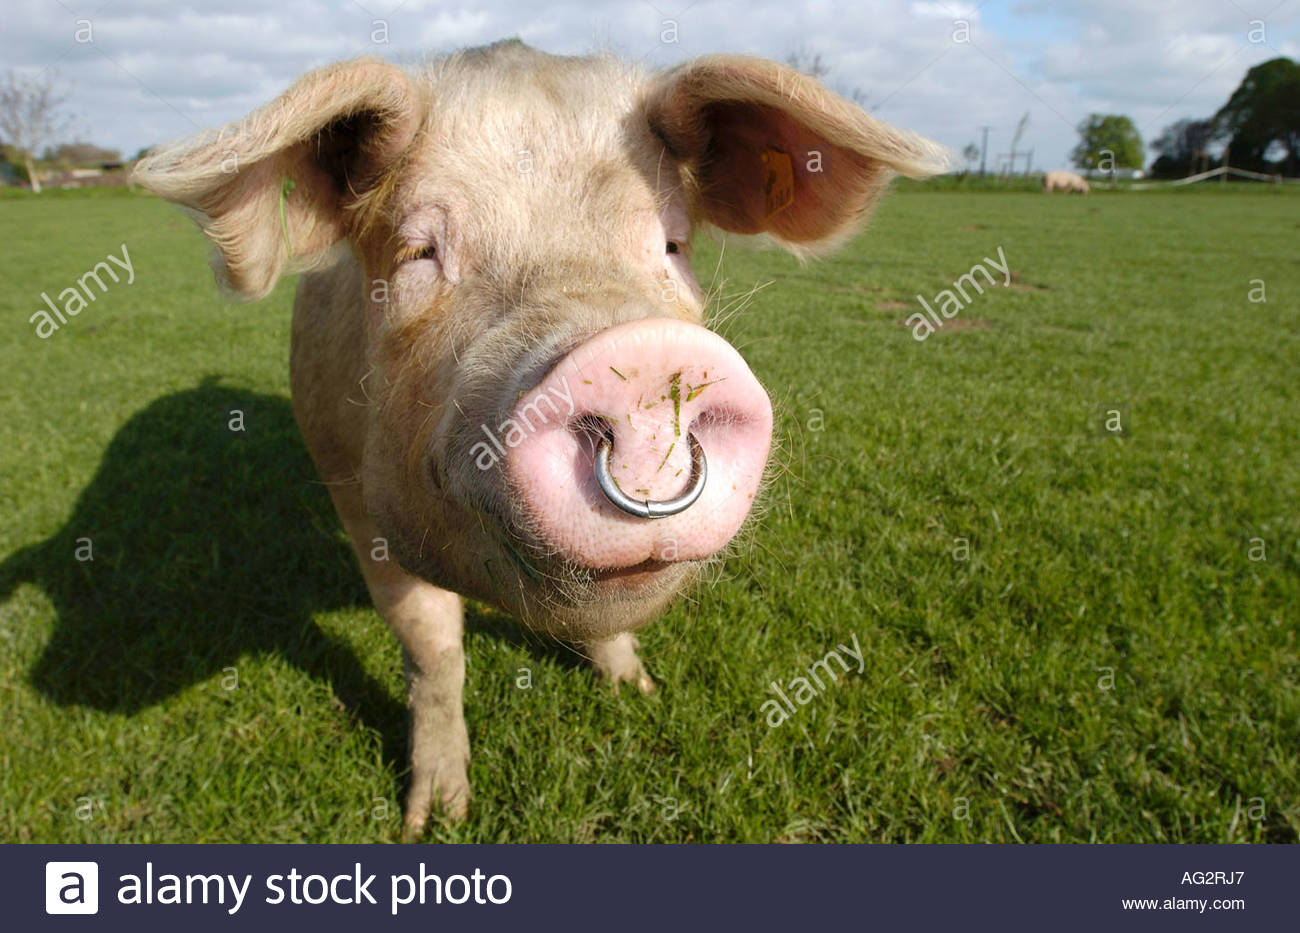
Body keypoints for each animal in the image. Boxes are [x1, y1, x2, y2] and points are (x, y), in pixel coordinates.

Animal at [133, 40, 948, 838]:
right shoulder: (356, 497)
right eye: (420, 251)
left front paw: (639, 692)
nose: (641, 349)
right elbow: (432, 648)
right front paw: (436, 819)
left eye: (673, 243)